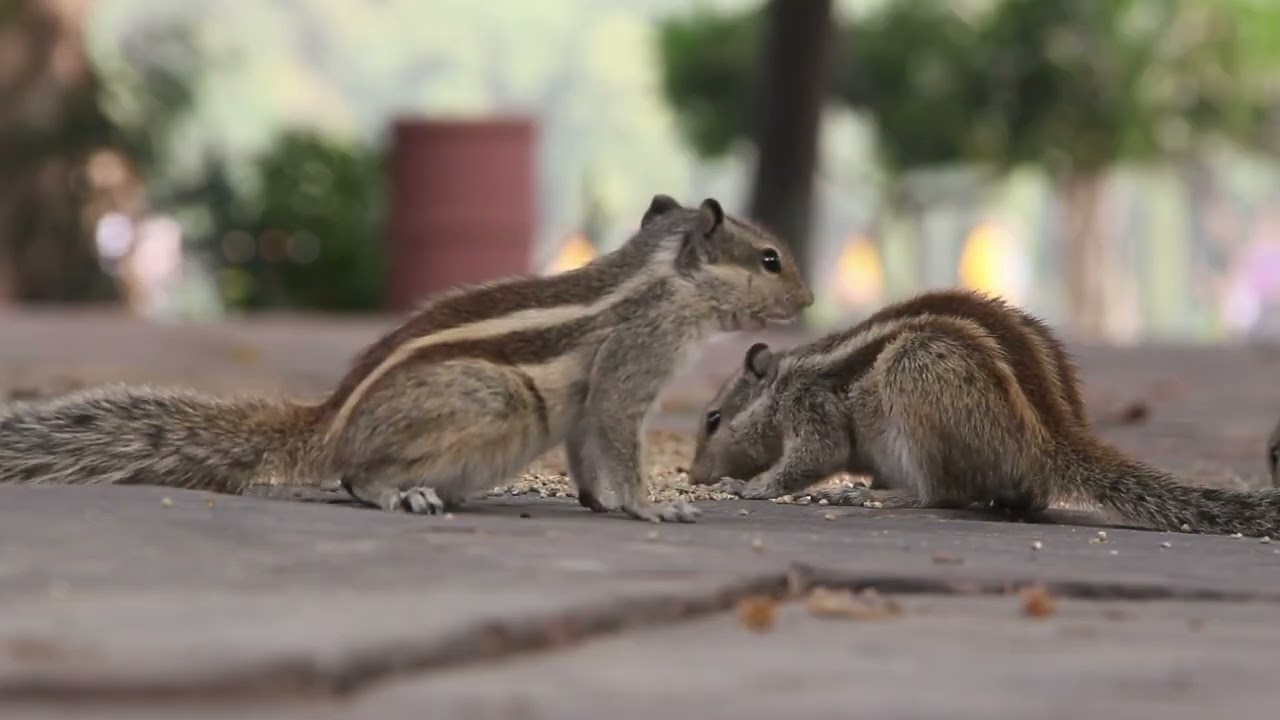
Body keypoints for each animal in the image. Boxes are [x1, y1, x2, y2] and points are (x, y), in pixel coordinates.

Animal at [0, 194, 813, 523]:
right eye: (770, 259)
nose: (807, 301)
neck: (665, 279)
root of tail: (328, 423)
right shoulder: (632, 368)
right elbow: (621, 441)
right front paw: (653, 507)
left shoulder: (592, 406)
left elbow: (591, 456)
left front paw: (607, 504)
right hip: (491, 400)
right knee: (356, 477)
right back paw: (405, 494)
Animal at [687, 288, 1280, 538]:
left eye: (713, 419)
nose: (692, 476)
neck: (785, 378)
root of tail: (1053, 438)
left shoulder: (812, 407)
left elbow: (814, 455)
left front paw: (752, 487)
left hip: (915, 371)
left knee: (942, 494)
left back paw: (882, 495)